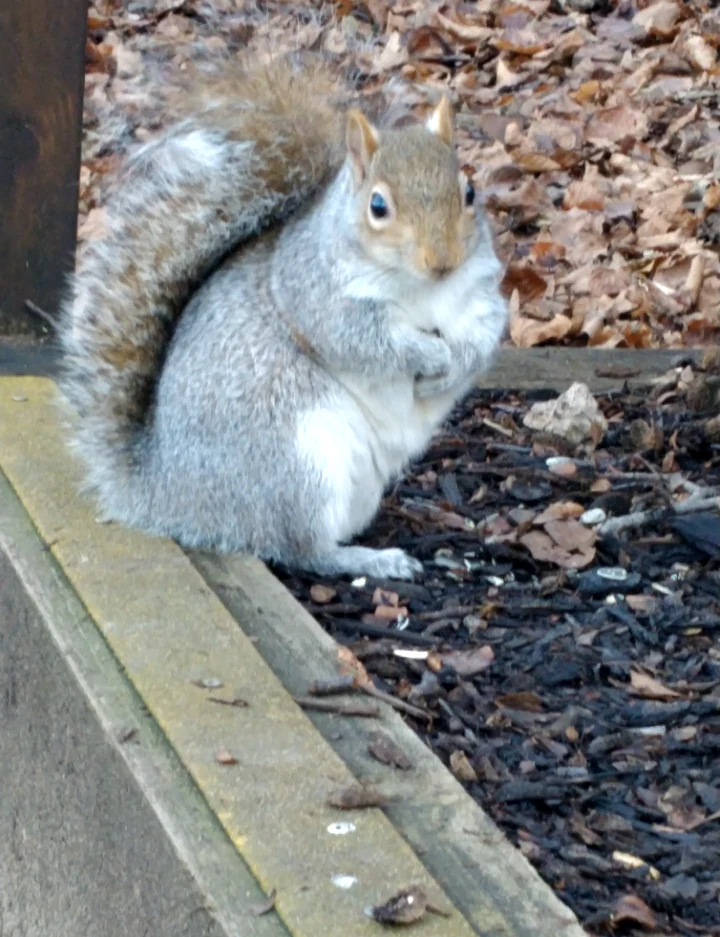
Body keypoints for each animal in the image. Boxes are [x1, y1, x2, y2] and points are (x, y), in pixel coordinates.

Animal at [59, 55, 507, 581]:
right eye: (378, 206)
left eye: (470, 191)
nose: (442, 261)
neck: (422, 288)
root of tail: (166, 494)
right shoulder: (316, 295)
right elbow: (365, 341)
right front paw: (429, 354)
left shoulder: (478, 293)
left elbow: (482, 339)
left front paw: (450, 369)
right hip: (299, 462)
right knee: (303, 549)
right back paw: (372, 559)